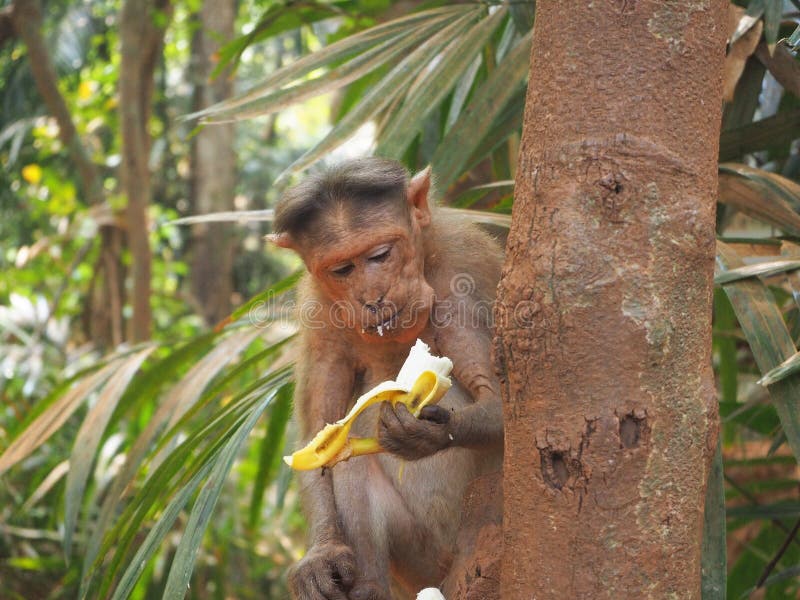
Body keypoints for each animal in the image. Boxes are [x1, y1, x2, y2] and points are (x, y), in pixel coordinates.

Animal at [271, 157, 504, 600]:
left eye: (380, 255)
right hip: (415, 563)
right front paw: (320, 556)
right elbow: (319, 433)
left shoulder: (458, 274)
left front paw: (427, 434)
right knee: (350, 463)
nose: (373, 298)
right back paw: (369, 587)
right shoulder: (319, 311)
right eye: (342, 269)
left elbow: (501, 400)